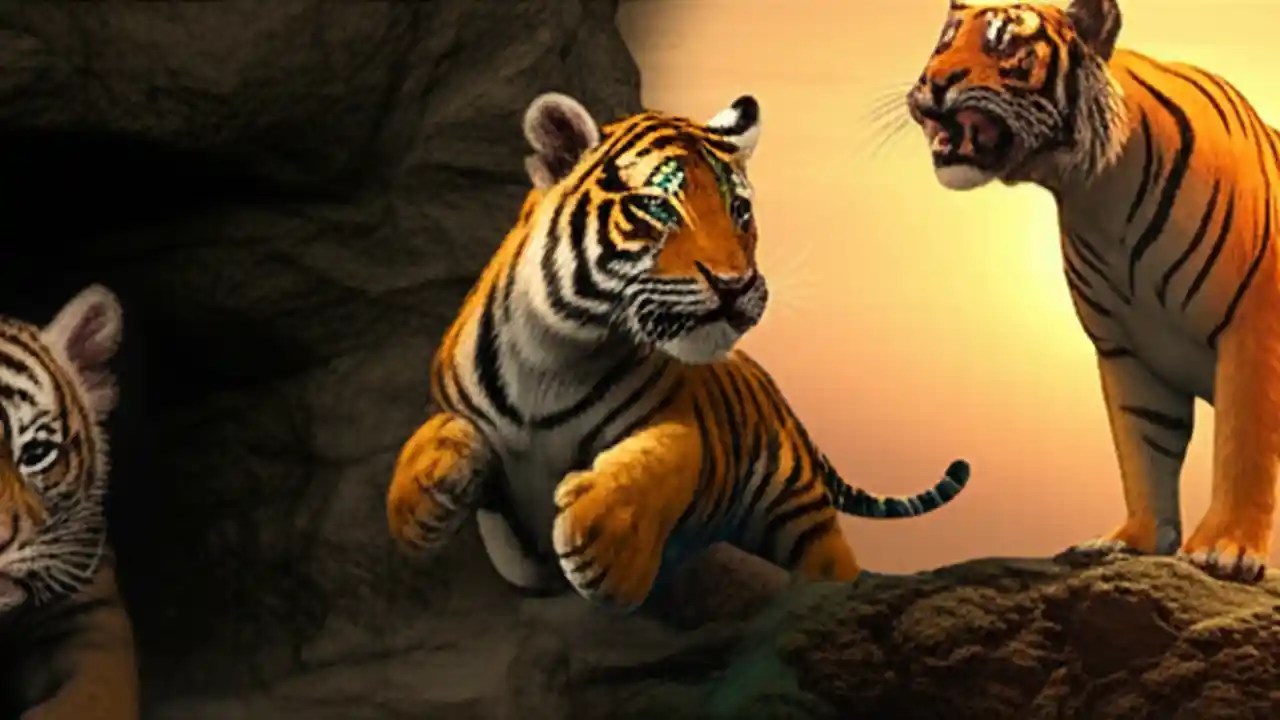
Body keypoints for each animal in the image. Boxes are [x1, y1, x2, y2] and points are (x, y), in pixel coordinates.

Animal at [385, 91, 973, 611]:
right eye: (655, 206)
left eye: (739, 209)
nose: (736, 285)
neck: (551, 355)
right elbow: (441, 429)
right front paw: (414, 505)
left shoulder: (677, 419)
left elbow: (663, 456)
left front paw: (602, 551)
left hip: (801, 514)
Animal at [904, 0, 1280, 582]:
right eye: (944, 40)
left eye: (1001, 43)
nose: (932, 82)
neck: (1098, 190)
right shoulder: (1127, 350)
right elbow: (1144, 447)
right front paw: (1134, 542)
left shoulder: (1254, 328)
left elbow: (1245, 446)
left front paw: (1226, 551)